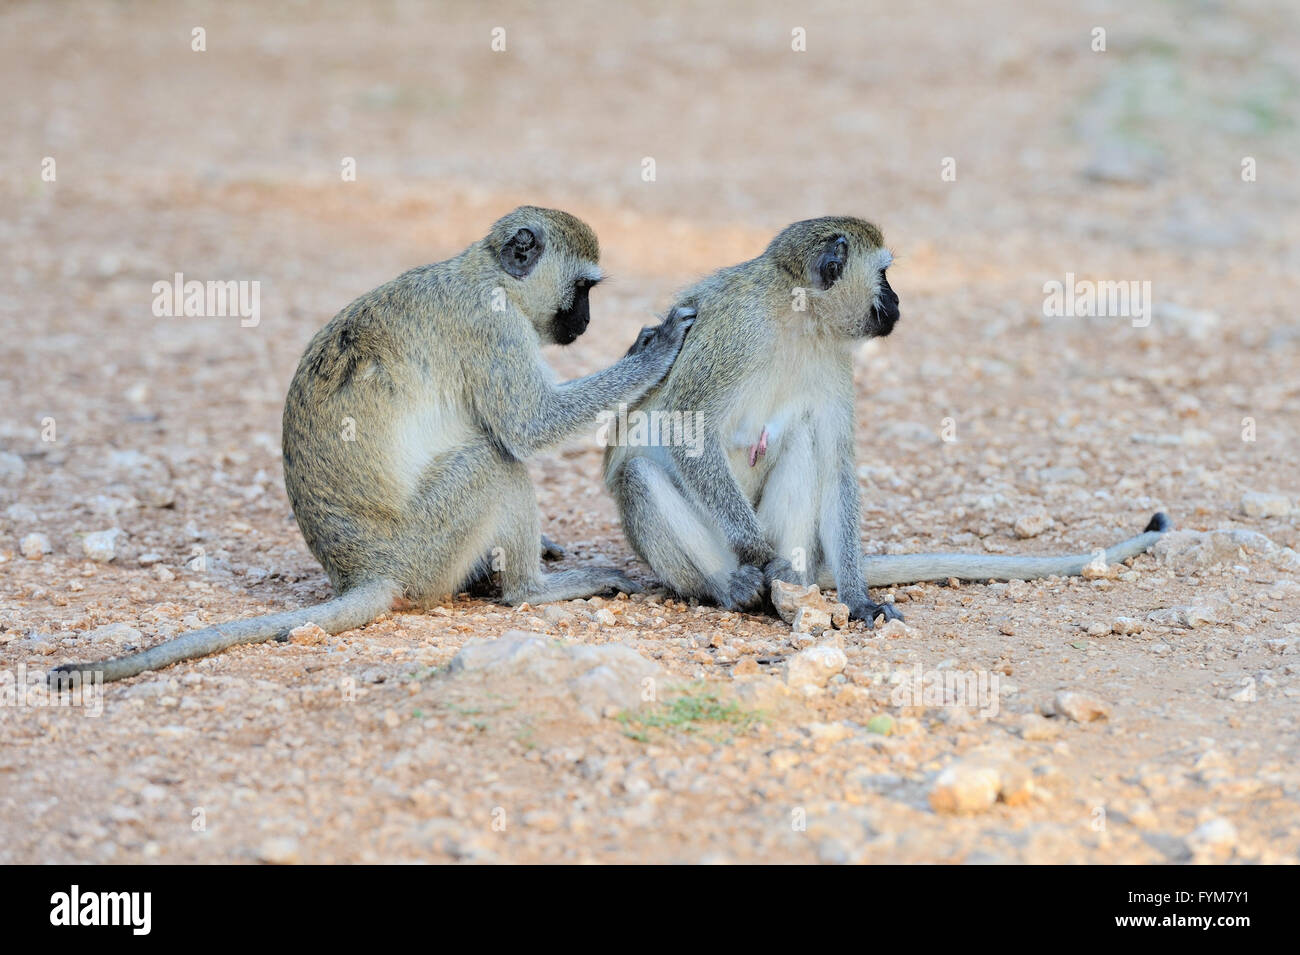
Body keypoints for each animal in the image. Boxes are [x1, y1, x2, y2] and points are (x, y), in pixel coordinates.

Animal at [53, 206, 694, 684]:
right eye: (582, 289)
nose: (584, 323)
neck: (488, 276)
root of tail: (364, 570)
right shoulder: (492, 327)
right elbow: (528, 427)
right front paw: (655, 349)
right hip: (427, 546)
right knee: (494, 463)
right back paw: (529, 591)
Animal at [604, 216, 1170, 625]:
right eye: (884, 275)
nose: (898, 301)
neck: (797, 317)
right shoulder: (735, 328)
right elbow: (687, 428)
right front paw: (759, 551)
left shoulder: (833, 359)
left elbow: (835, 463)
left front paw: (858, 598)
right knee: (638, 476)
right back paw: (733, 585)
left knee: (807, 441)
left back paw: (791, 584)